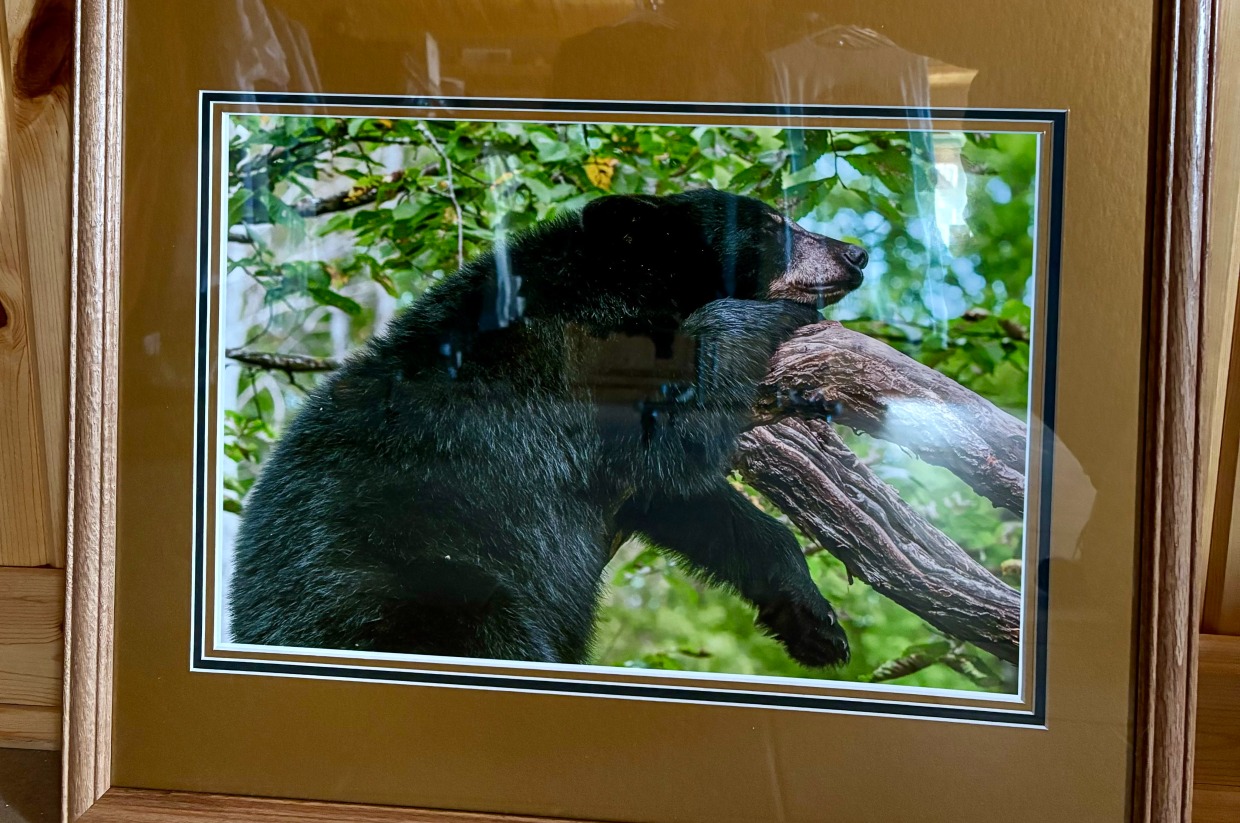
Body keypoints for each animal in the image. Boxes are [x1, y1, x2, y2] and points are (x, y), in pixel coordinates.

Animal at [227, 189, 868, 668]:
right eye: (771, 224)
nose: (856, 253)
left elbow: (683, 499)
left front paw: (815, 621)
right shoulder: (571, 375)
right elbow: (672, 445)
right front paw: (770, 315)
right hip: (434, 591)